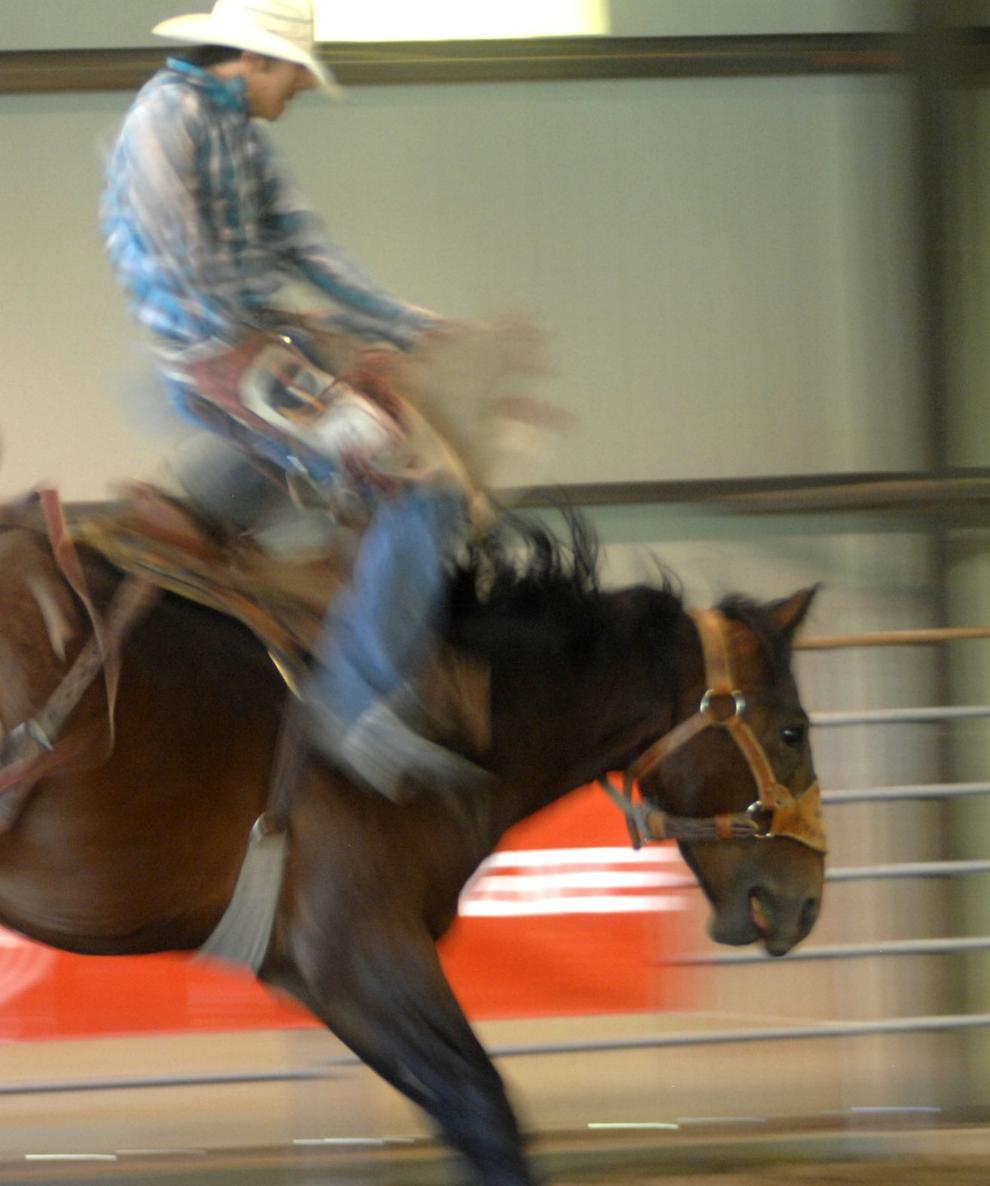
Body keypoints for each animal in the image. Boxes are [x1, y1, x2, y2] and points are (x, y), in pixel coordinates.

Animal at [0, 505, 825, 1186]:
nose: (808, 903)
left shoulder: (326, 980)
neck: (443, 718)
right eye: (793, 730)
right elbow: (487, 1112)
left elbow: (462, 1117)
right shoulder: (366, 950)